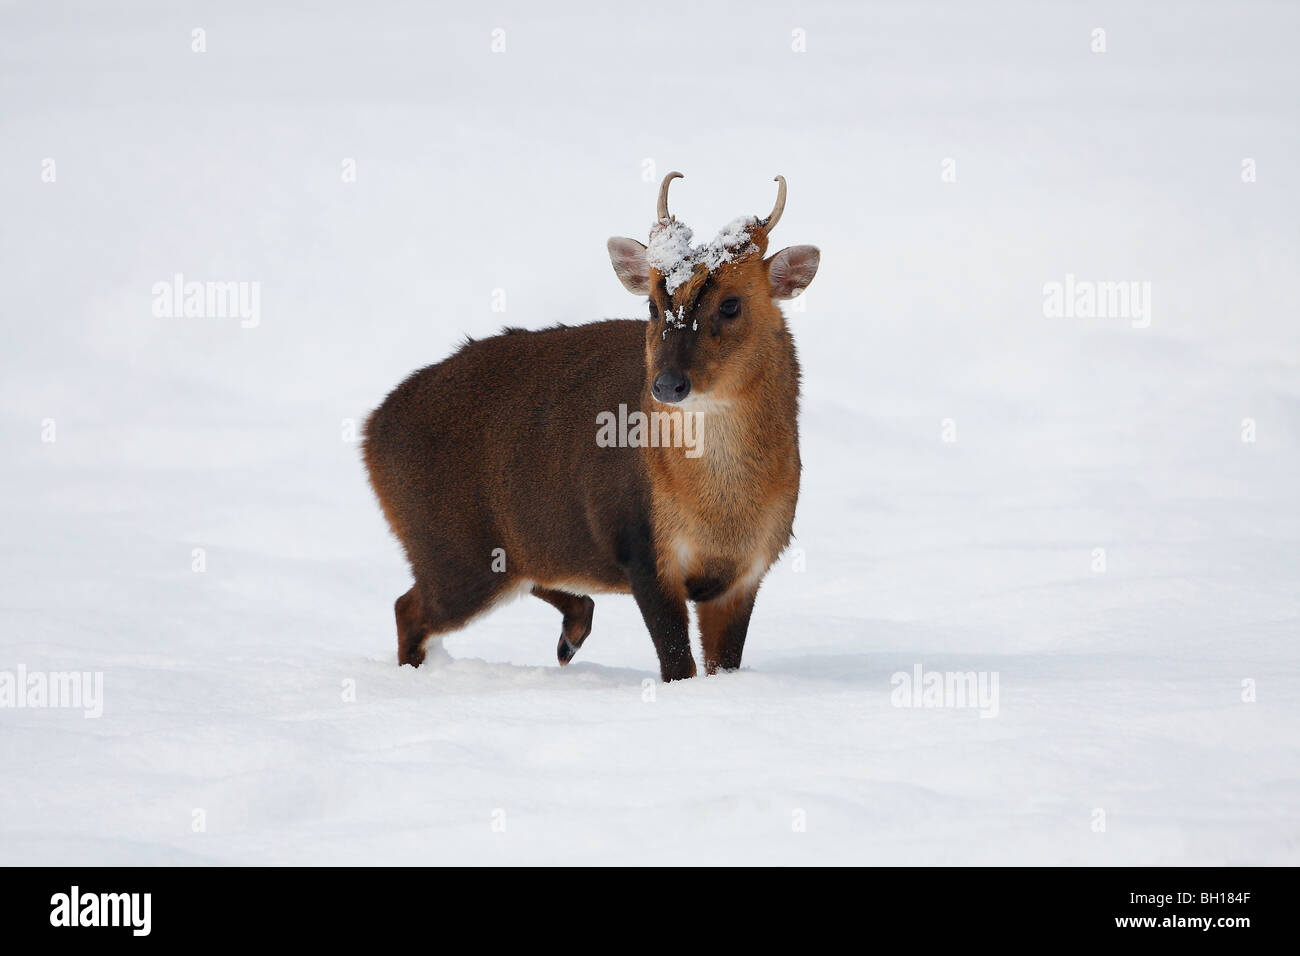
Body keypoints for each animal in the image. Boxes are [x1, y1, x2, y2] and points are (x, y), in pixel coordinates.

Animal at [362, 172, 819, 681]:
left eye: (733, 305)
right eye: (652, 306)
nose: (667, 383)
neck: (722, 513)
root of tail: (371, 429)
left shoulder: (745, 573)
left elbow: (724, 664)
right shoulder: (641, 547)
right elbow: (677, 664)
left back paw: (570, 636)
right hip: (453, 550)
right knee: (408, 607)